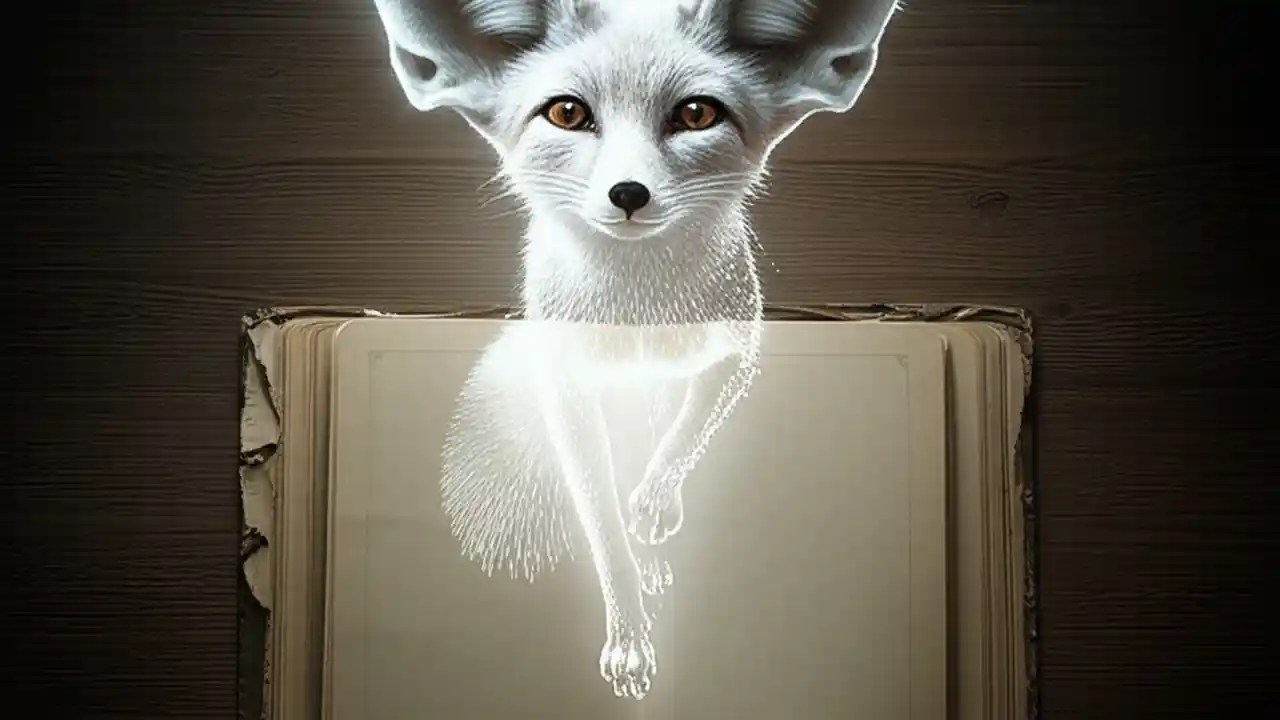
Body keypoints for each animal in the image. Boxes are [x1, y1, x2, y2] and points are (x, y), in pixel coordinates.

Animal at [370, 0, 902, 700]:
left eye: (696, 114)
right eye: (567, 113)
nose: (629, 194)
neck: (641, 317)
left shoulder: (737, 354)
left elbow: (682, 440)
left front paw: (652, 508)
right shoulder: (566, 387)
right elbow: (604, 527)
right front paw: (630, 636)